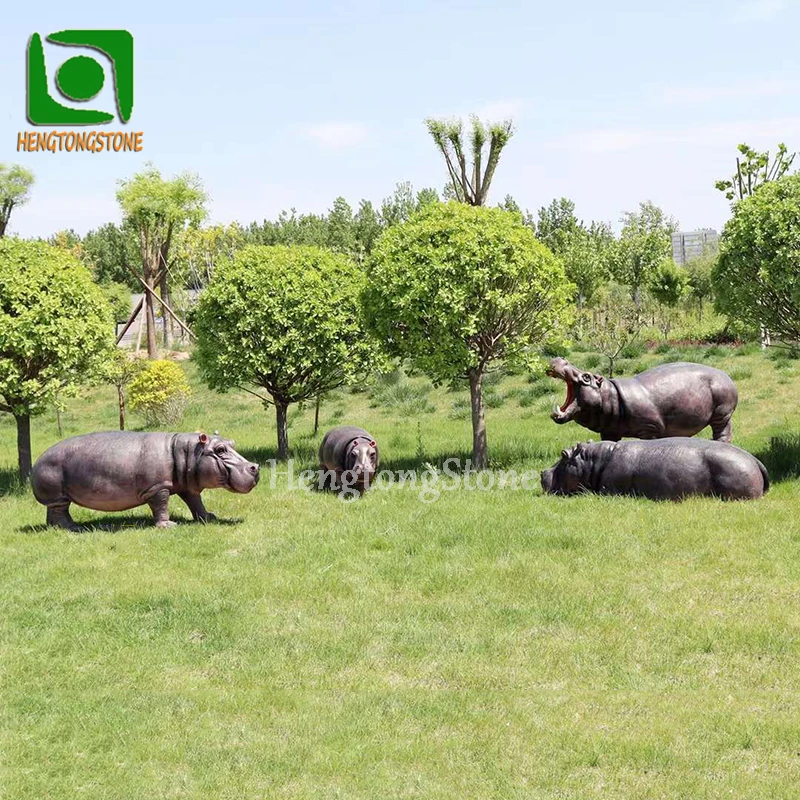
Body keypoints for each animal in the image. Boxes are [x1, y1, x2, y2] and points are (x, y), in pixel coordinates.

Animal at [31, 431, 259, 530]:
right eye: (220, 449)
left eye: (231, 442)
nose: (255, 467)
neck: (188, 451)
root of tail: (37, 461)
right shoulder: (157, 487)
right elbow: (161, 505)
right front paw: (169, 525)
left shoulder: (187, 486)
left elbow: (196, 502)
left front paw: (208, 517)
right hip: (58, 494)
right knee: (60, 512)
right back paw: (74, 528)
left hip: (57, 498)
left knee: (53, 514)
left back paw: (58, 527)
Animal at [547, 358, 738, 442]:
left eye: (586, 377)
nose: (561, 359)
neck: (609, 394)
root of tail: (726, 376)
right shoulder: (609, 431)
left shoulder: (650, 429)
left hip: (722, 413)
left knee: (722, 431)